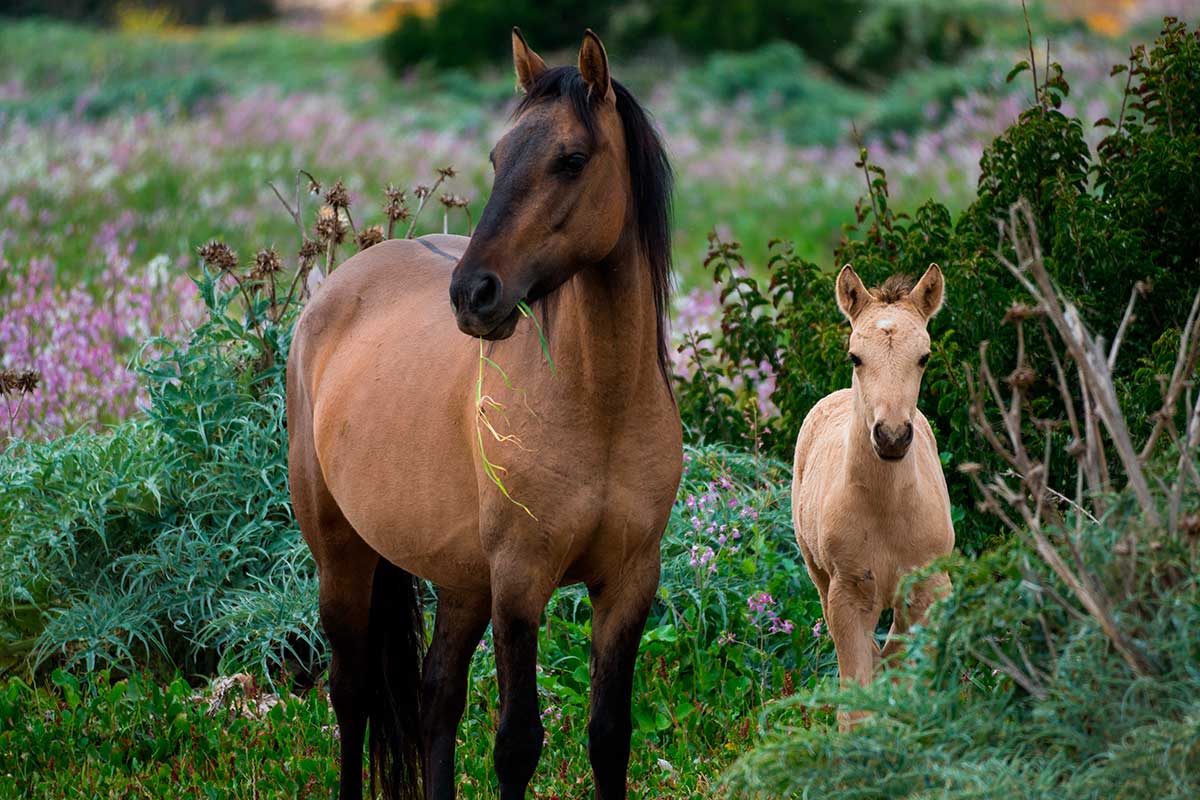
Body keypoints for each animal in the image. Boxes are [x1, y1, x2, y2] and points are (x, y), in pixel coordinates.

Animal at [286, 28, 681, 800]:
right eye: (499, 158)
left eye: (570, 159)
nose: (473, 294)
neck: (601, 406)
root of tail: (336, 288)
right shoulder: (520, 584)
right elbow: (517, 743)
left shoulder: (629, 583)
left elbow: (609, 736)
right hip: (343, 556)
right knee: (351, 693)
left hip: (461, 577)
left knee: (437, 692)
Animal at [790, 264, 954, 729]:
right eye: (855, 357)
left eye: (924, 357)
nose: (892, 436)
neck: (886, 510)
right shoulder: (847, 595)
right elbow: (857, 695)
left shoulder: (928, 588)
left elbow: (901, 671)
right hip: (818, 575)